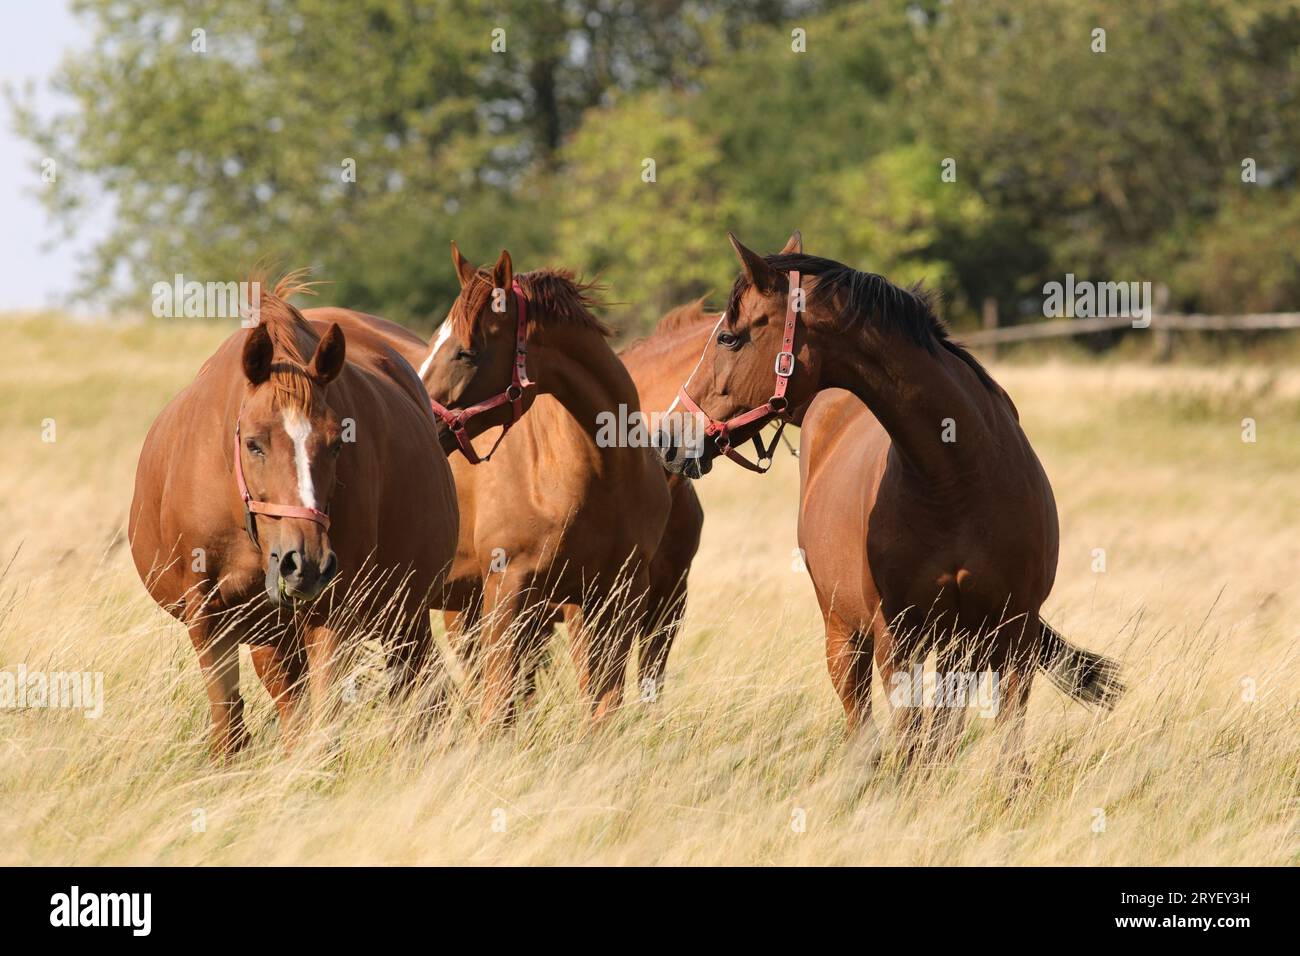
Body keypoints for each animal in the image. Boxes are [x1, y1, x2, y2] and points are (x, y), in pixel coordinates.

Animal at [129, 275, 459, 757]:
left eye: (338, 443)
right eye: (253, 443)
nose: (305, 564)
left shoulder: (332, 611)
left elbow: (322, 723)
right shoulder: (206, 616)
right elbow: (230, 727)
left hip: (404, 614)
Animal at [406, 245, 672, 726]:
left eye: (467, 353)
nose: (419, 416)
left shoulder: (616, 596)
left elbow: (603, 708)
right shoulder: (508, 590)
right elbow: (498, 709)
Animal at [656, 232, 1123, 767]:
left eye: (729, 338)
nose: (668, 437)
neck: (957, 480)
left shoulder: (1010, 635)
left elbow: (999, 754)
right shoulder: (897, 639)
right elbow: (909, 744)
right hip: (844, 636)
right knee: (865, 729)